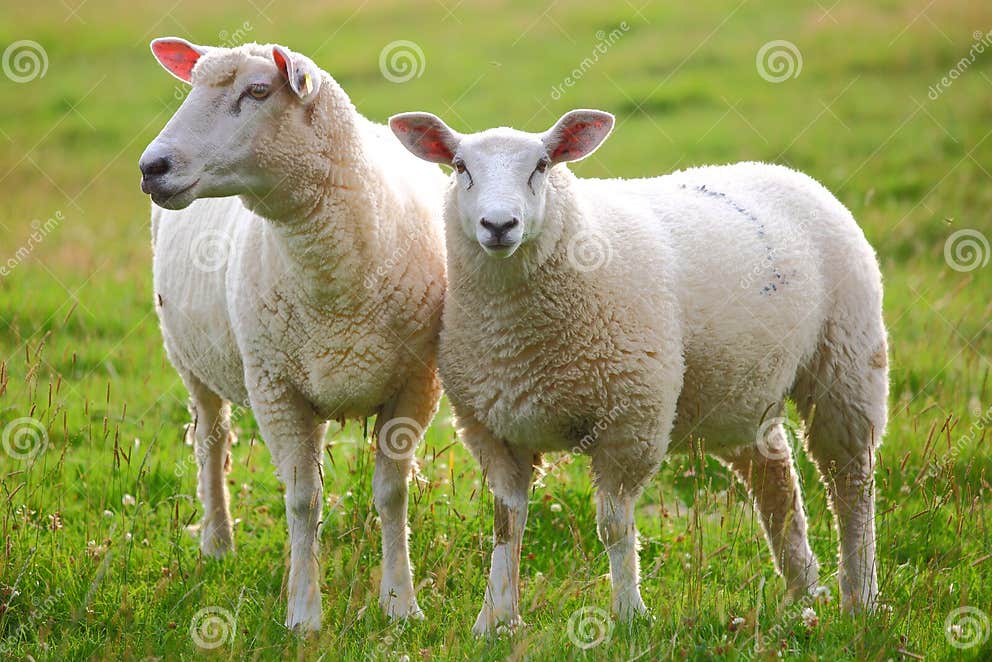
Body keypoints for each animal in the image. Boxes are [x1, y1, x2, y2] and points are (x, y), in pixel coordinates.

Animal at [139, 38, 448, 631]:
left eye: (258, 91)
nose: (151, 167)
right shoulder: (275, 388)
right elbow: (304, 500)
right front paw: (304, 612)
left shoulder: (414, 385)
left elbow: (392, 493)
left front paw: (400, 603)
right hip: (193, 362)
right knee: (211, 444)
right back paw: (217, 543)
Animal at [389, 108, 888, 634]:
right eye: (460, 166)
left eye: (542, 165)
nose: (499, 224)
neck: (515, 337)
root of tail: (787, 173)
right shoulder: (492, 429)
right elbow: (507, 525)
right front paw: (495, 619)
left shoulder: (630, 421)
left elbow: (614, 526)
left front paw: (628, 613)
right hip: (738, 390)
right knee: (774, 475)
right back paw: (803, 588)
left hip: (847, 361)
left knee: (851, 484)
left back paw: (861, 597)